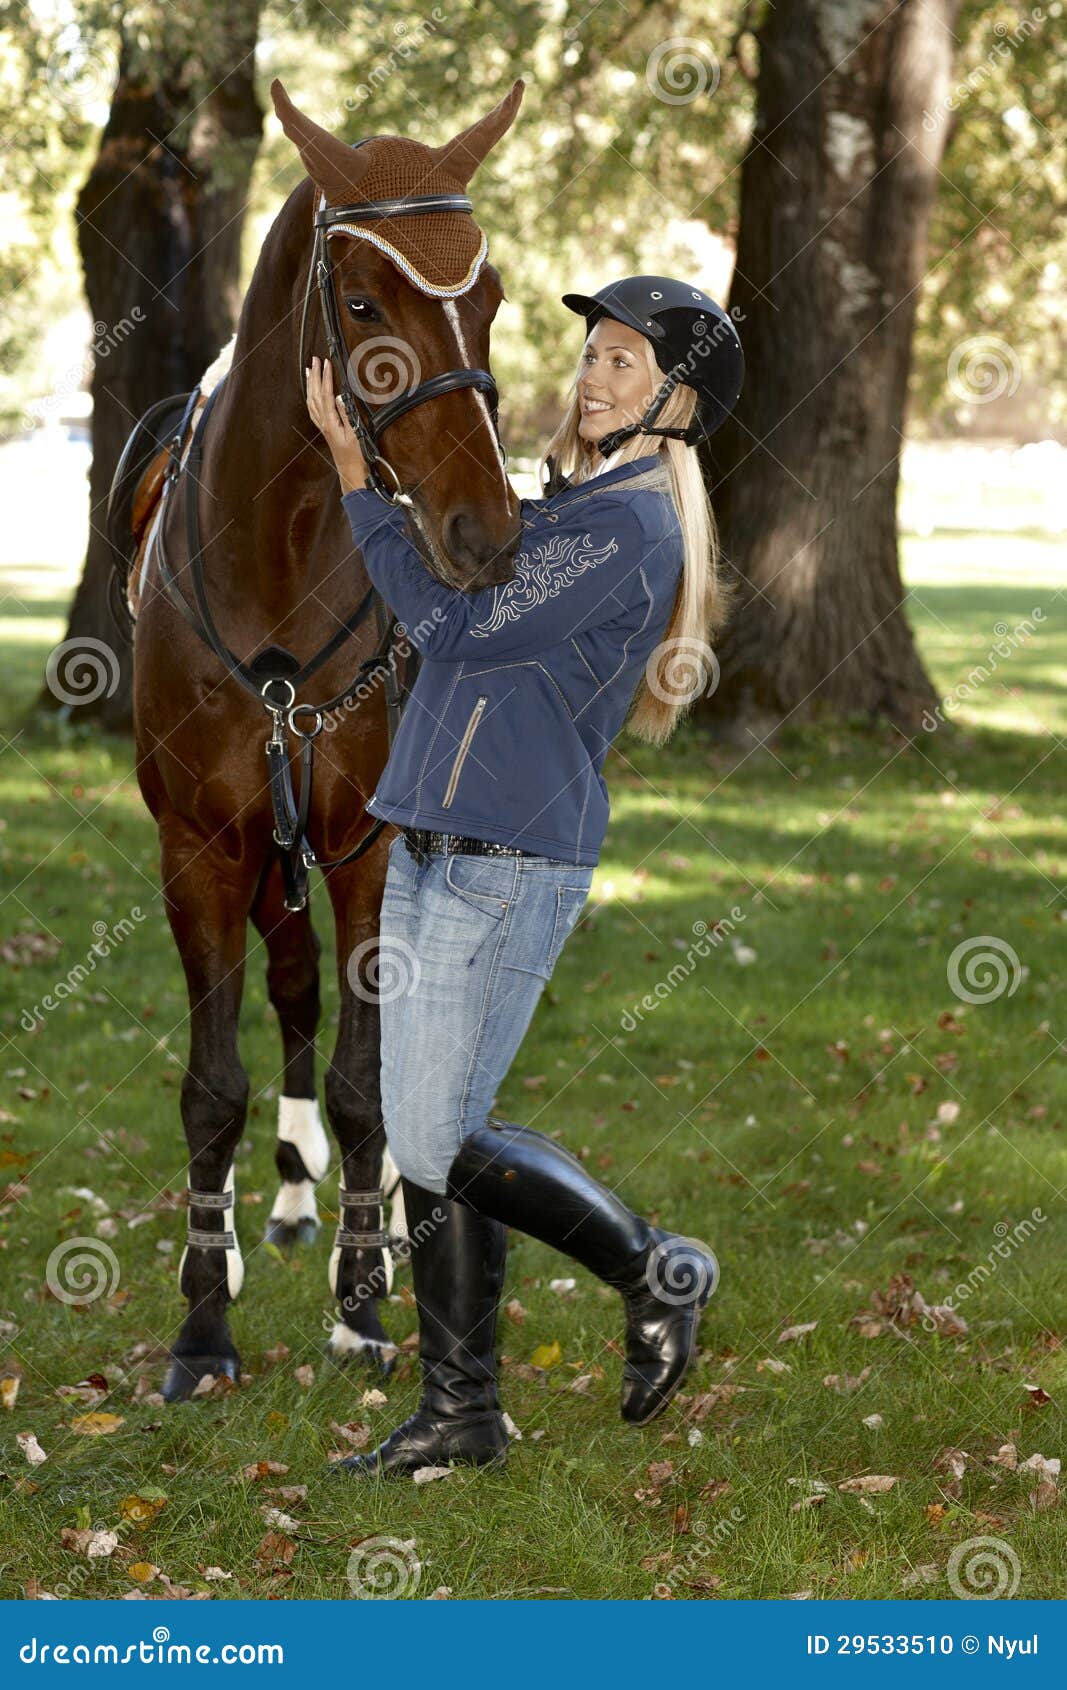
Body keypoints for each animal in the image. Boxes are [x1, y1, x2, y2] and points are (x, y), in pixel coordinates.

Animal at [108, 78, 524, 1401]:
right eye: (359, 304)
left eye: (490, 297)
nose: (483, 532)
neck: (277, 546)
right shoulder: (200, 847)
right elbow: (213, 1086)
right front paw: (201, 1318)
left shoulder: (365, 849)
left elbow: (360, 1080)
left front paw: (362, 1299)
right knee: (287, 991)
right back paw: (277, 1214)